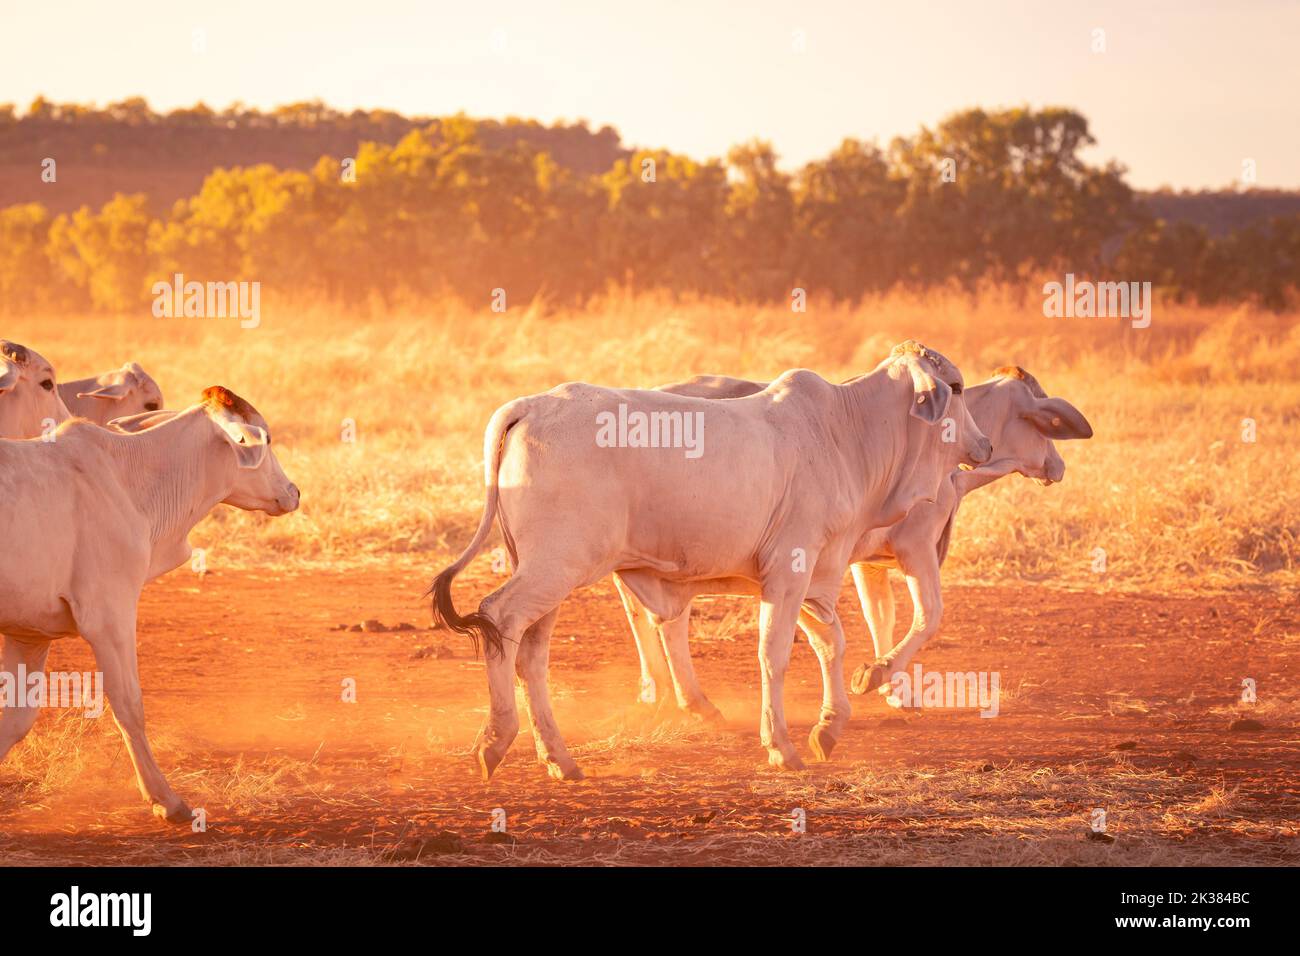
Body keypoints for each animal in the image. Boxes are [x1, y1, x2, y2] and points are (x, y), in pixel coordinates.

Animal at [0, 387, 299, 823]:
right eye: (268, 439)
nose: (294, 492)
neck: (127, 478)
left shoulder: (28, 634)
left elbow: (15, 719)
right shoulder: (110, 618)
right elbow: (130, 706)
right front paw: (167, 801)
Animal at [429, 342, 991, 781]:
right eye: (958, 387)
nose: (984, 444)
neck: (846, 434)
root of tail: (528, 406)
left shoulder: (818, 577)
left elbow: (831, 643)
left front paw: (830, 726)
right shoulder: (790, 571)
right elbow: (775, 654)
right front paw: (781, 746)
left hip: (545, 572)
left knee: (531, 653)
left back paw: (558, 758)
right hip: (554, 567)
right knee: (499, 618)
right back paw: (495, 740)